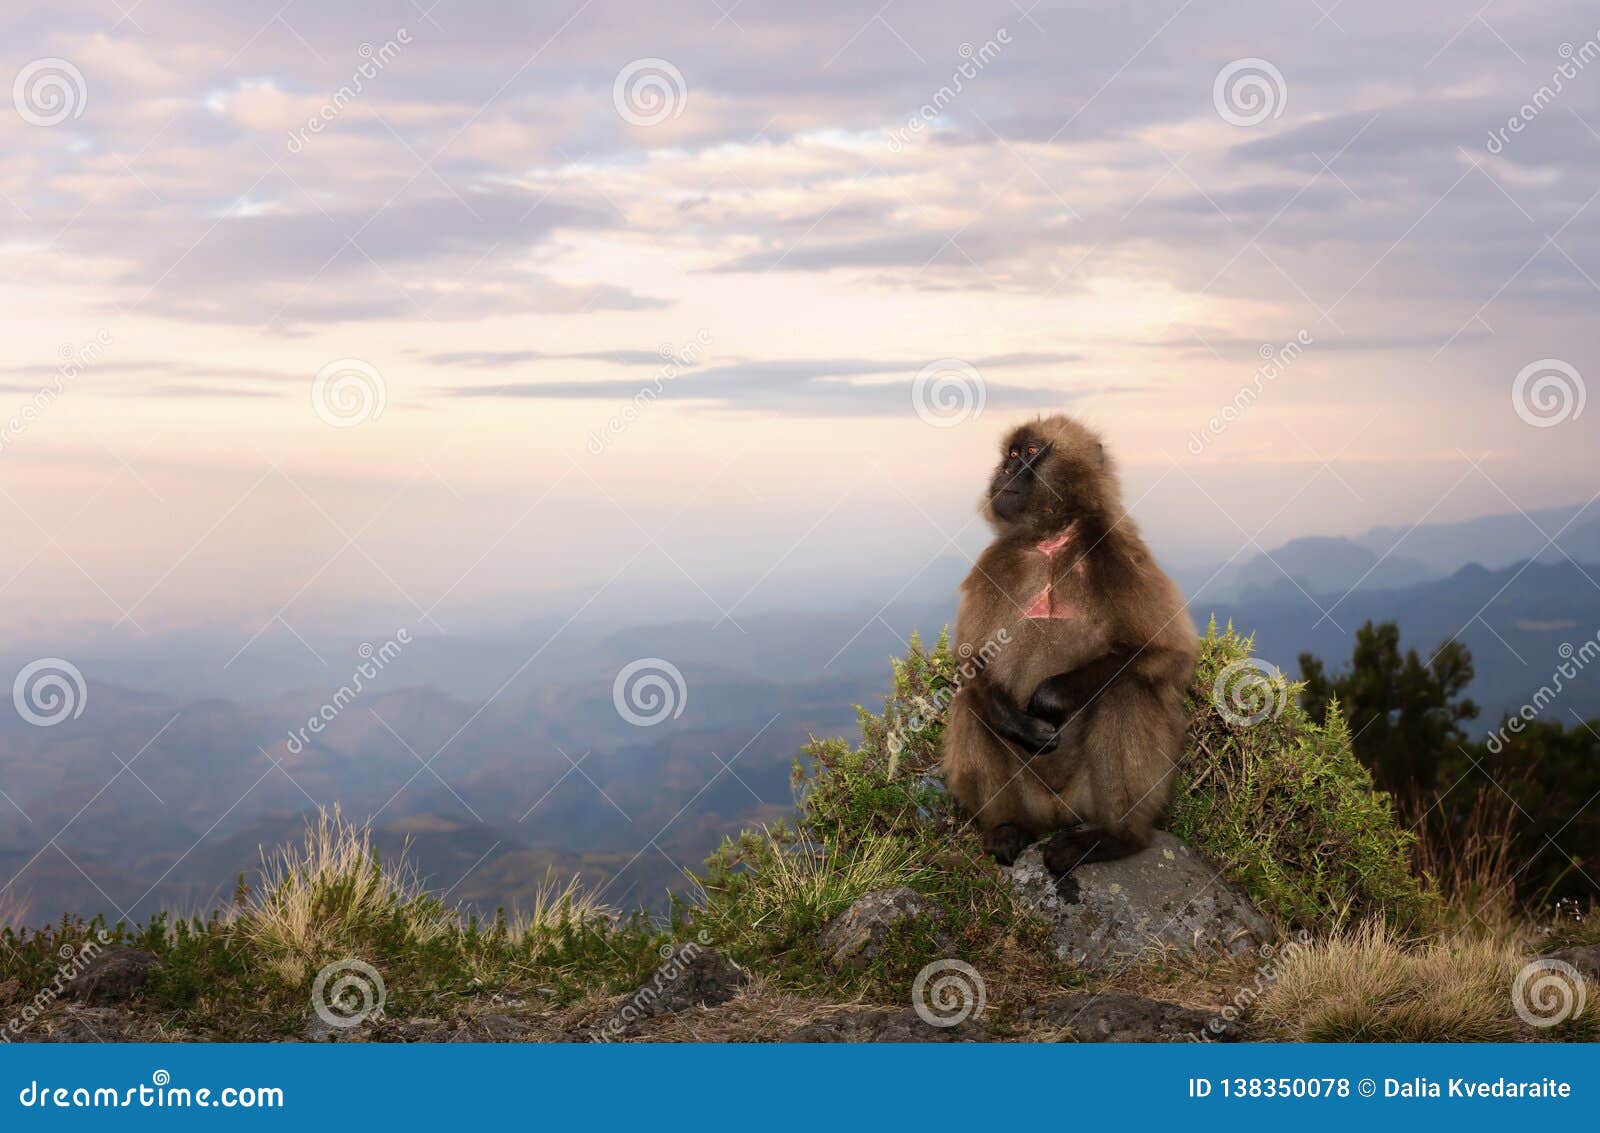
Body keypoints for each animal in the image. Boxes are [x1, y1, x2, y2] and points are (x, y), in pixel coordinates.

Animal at [940, 414, 1198, 878]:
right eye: (1010, 454)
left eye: (1029, 453)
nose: (1005, 471)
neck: (1051, 538)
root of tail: (1058, 812)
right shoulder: (995, 563)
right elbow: (973, 667)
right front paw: (1017, 721)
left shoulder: (1120, 552)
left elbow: (1164, 652)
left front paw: (1050, 699)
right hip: (1032, 798)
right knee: (969, 705)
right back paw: (1007, 828)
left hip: (1085, 799)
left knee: (1124, 690)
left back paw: (1113, 838)